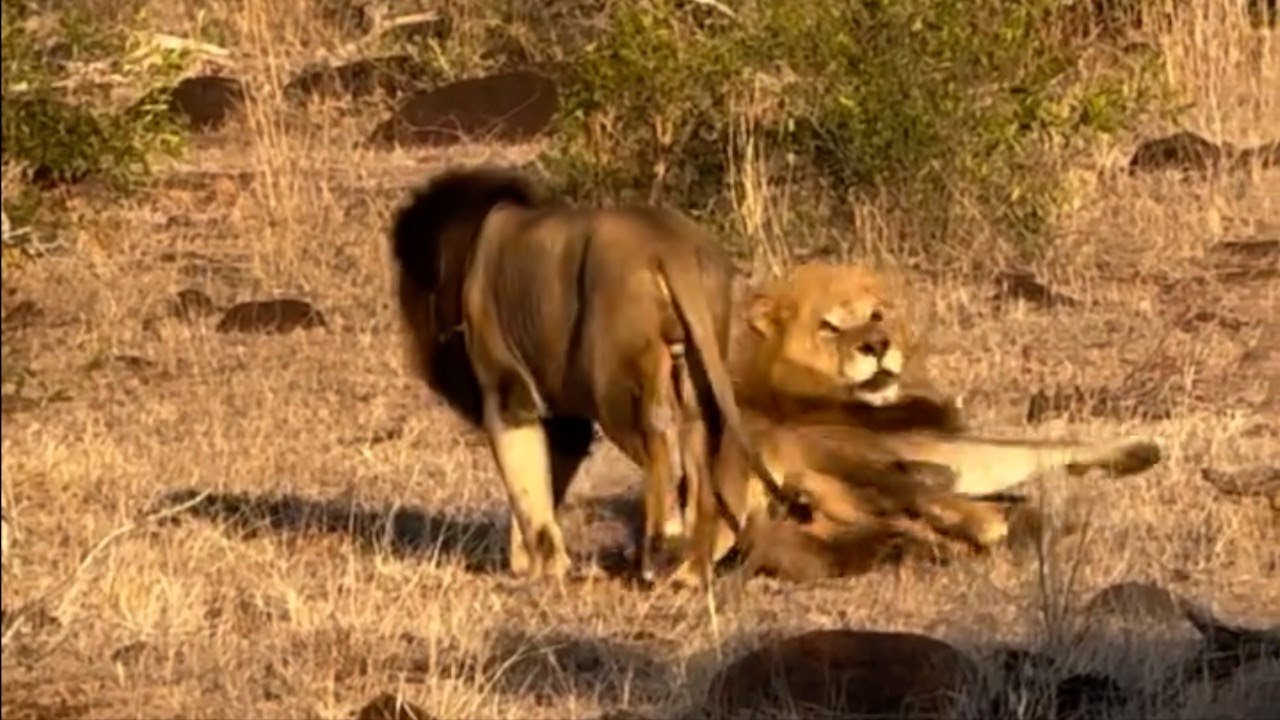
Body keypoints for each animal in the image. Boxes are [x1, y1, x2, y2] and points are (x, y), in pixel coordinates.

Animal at [389, 165, 792, 583]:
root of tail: (670, 246)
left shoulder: (507, 390)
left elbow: (524, 482)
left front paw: (543, 569)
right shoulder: (566, 420)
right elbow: (544, 485)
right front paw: (531, 562)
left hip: (614, 389)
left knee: (659, 450)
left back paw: (658, 555)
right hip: (695, 372)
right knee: (698, 461)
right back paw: (690, 571)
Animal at [675, 262, 1164, 586]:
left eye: (877, 315)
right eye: (829, 327)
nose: (877, 345)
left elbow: (1029, 448)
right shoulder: (909, 441)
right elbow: (1020, 447)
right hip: (813, 449)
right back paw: (986, 519)